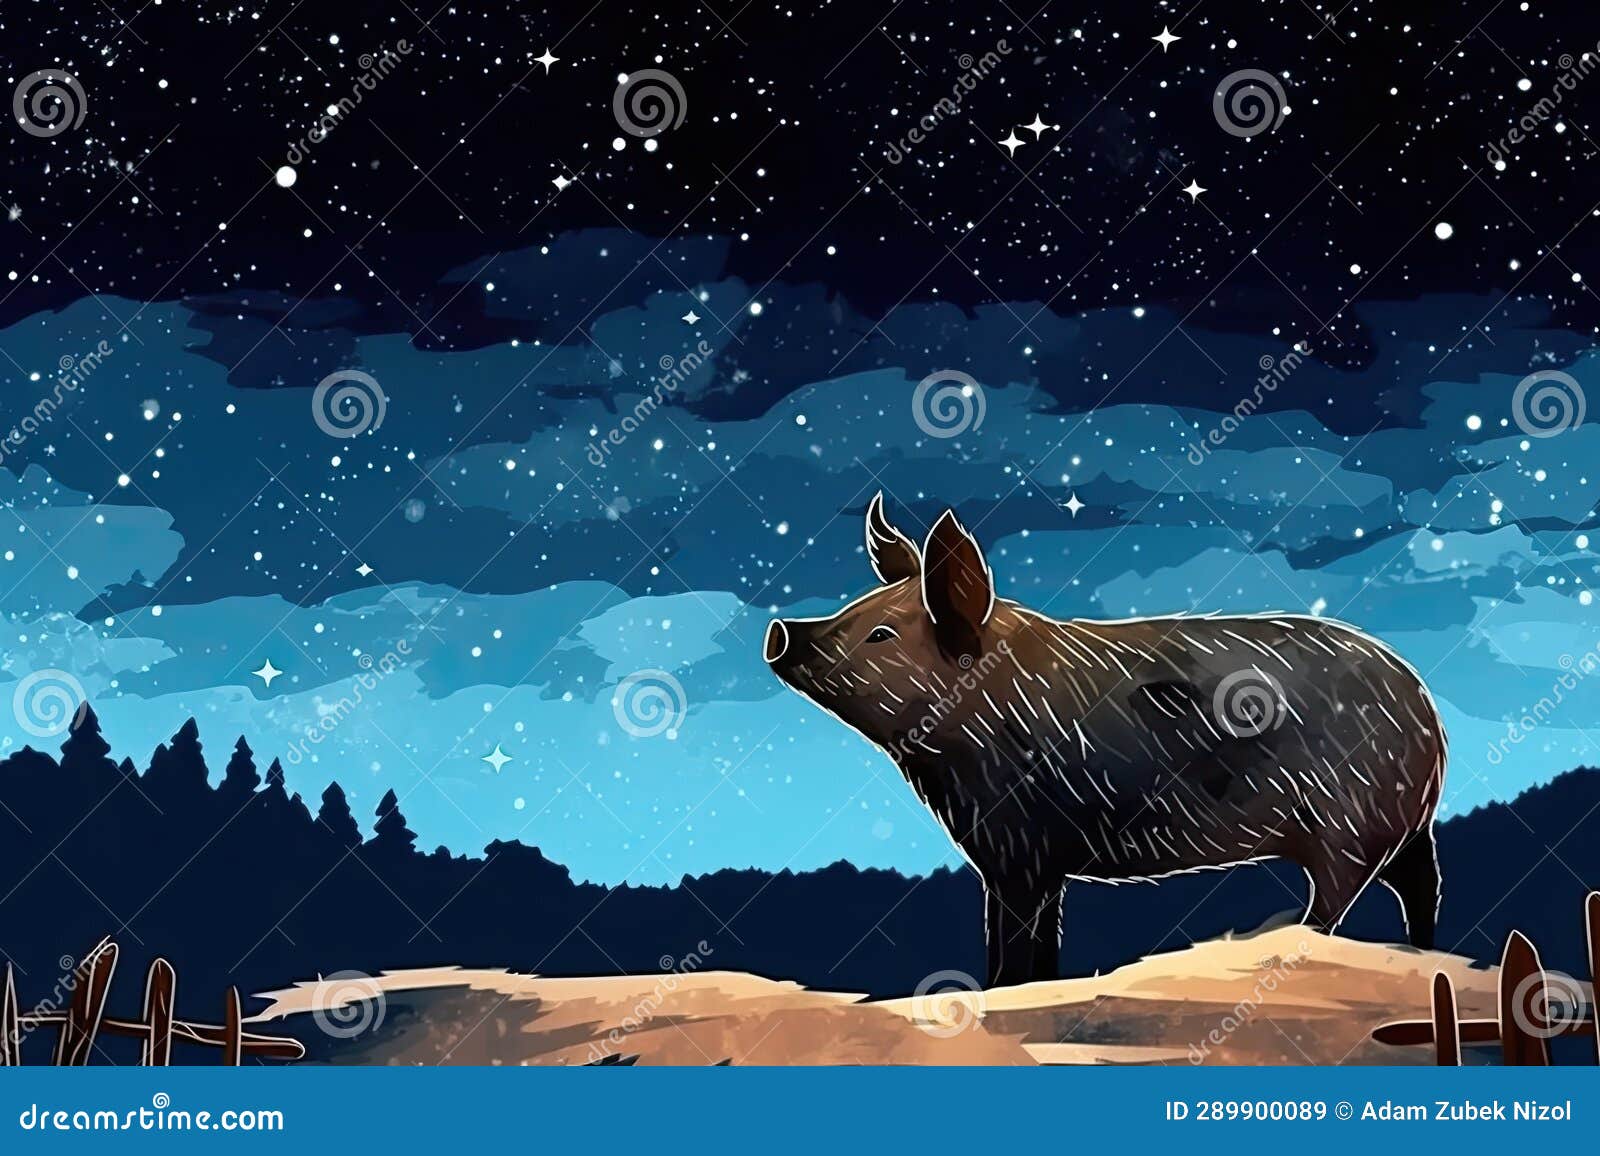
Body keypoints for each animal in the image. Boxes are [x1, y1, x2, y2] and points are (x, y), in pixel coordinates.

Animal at [764, 494, 1447, 988]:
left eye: (881, 633)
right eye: (856, 607)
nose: (781, 630)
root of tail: (1426, 712)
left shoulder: (1023, 845)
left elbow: (1015, 944)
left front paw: (1003, 990)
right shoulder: (1027, 857)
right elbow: (1038, 943)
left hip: (1347, 824)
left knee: (1335, 903)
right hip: (1404, 830)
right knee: (1422, 889)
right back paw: (1423, 955)